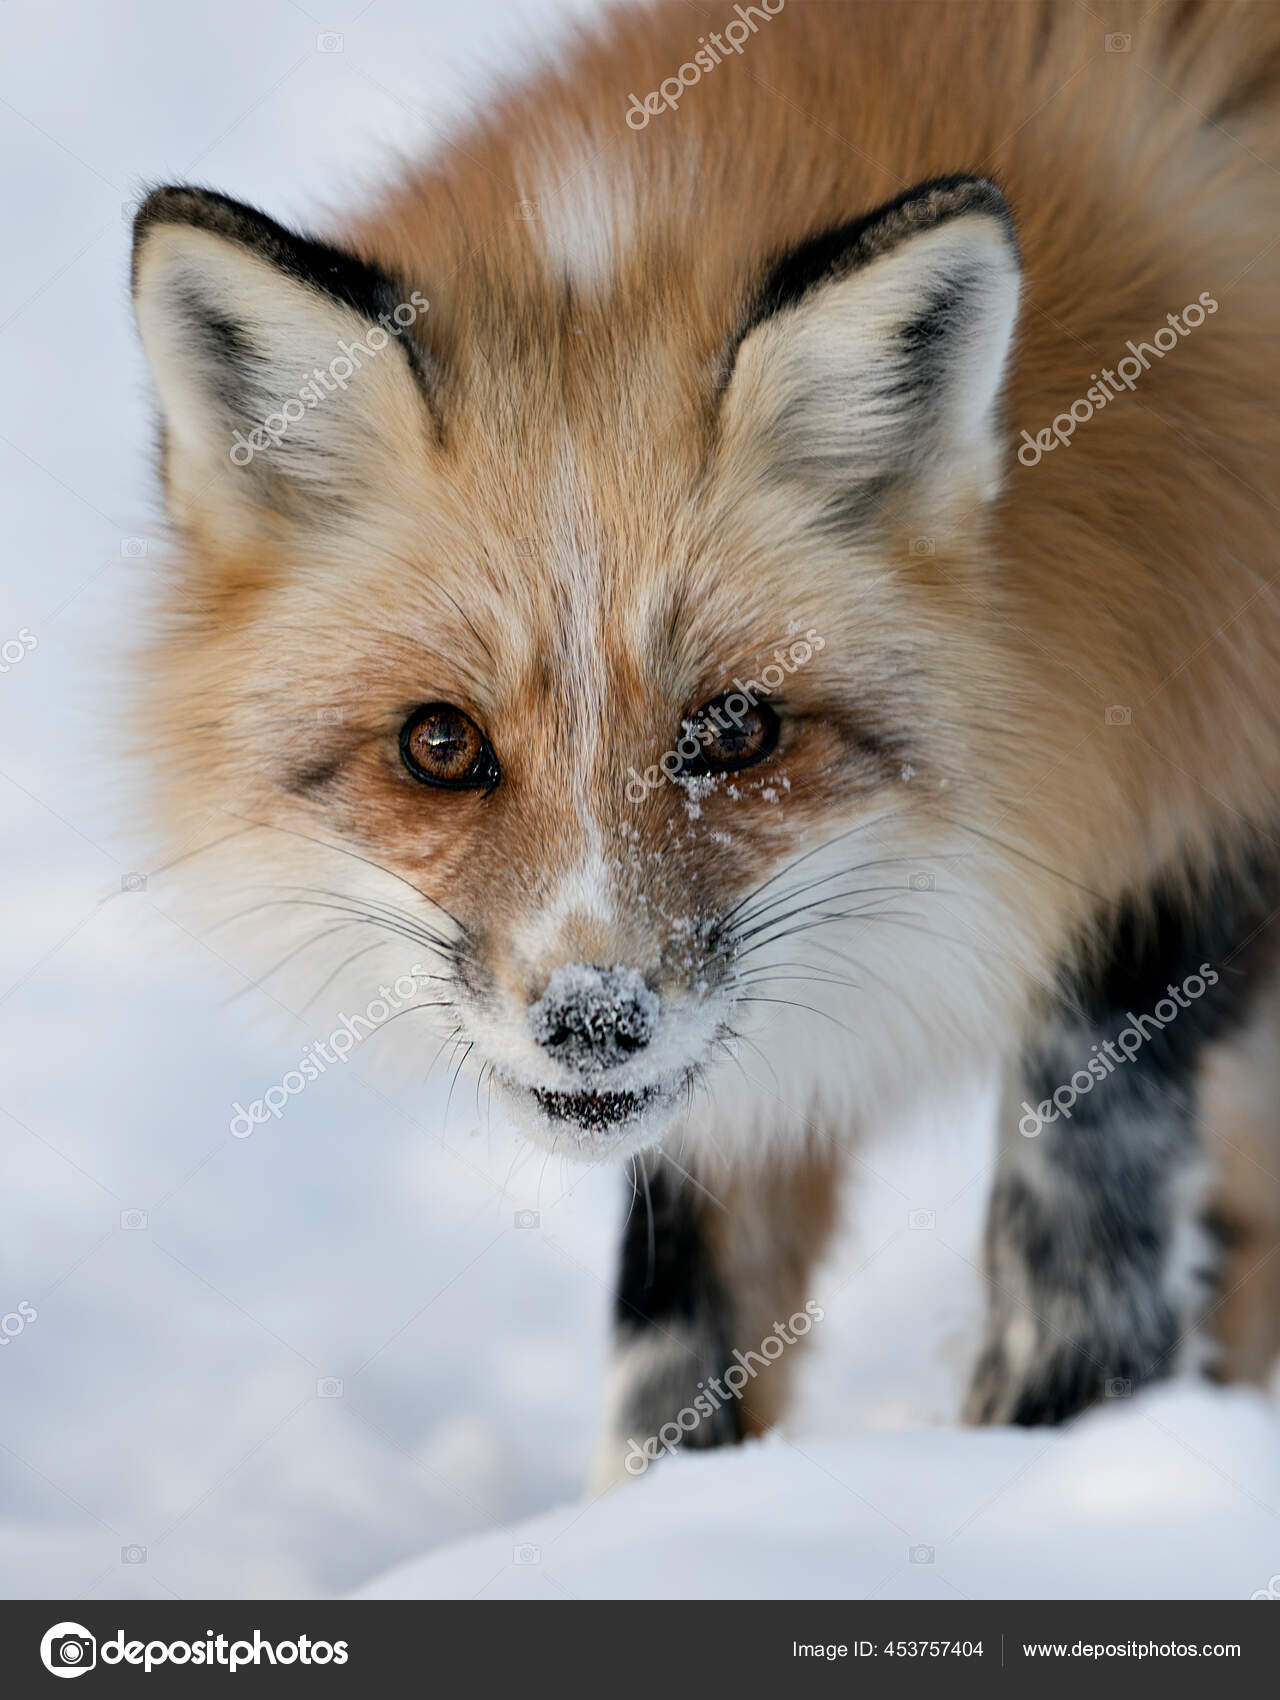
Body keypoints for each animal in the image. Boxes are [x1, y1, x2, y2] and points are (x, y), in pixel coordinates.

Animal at [130, 0, 1280, 1488]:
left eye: (732, 728)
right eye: (440, 744)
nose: (592, 1022)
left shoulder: (1190, 813)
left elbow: (1080, 1218)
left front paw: (1042, 1455)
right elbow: (677, 1324)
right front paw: (653, 1516)